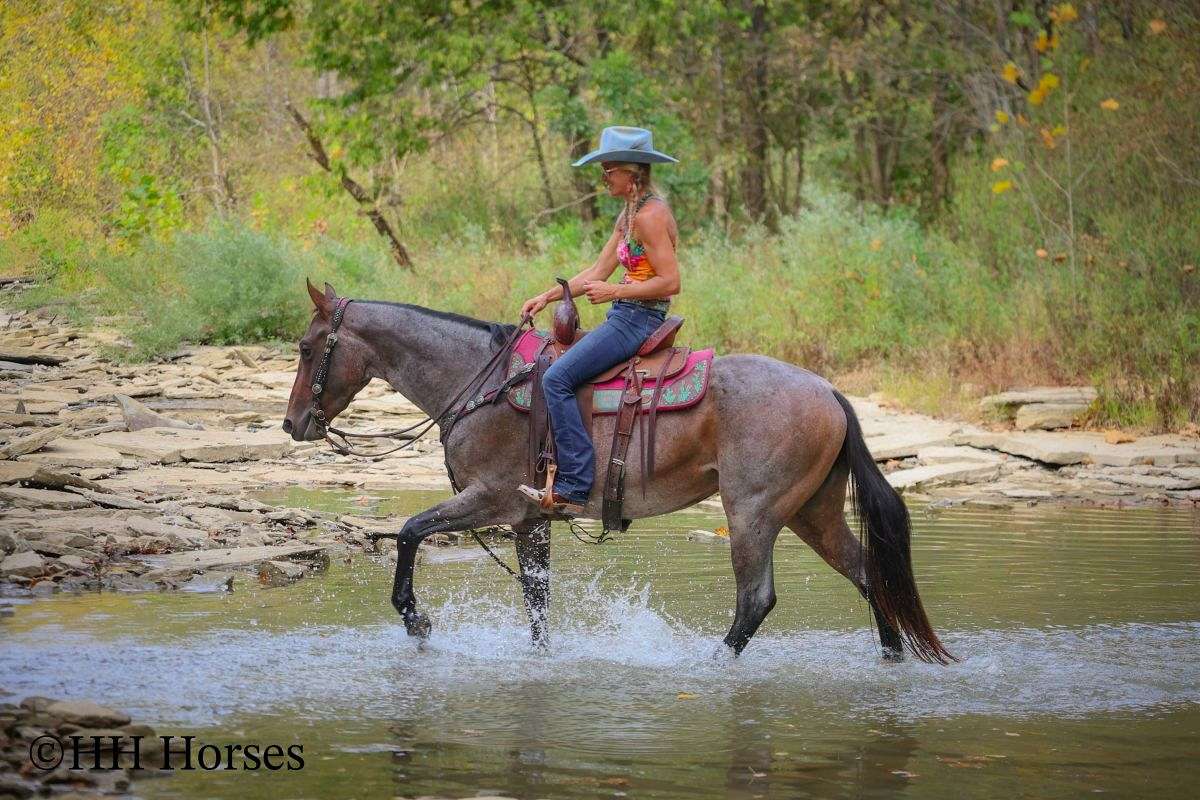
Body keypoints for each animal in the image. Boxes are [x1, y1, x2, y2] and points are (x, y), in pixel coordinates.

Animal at [283, 280, 955, 664]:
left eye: (308, 348)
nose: (293, 424)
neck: (480, 383)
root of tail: (830, 392)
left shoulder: (491, 500)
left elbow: (408, 533)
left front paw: (417, 620)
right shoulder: (529, 519)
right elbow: (537, 602)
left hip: (754, 512)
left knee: (756, 598)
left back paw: (712, 664)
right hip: (812, 512)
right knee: (869, 574)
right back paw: (891, 660)